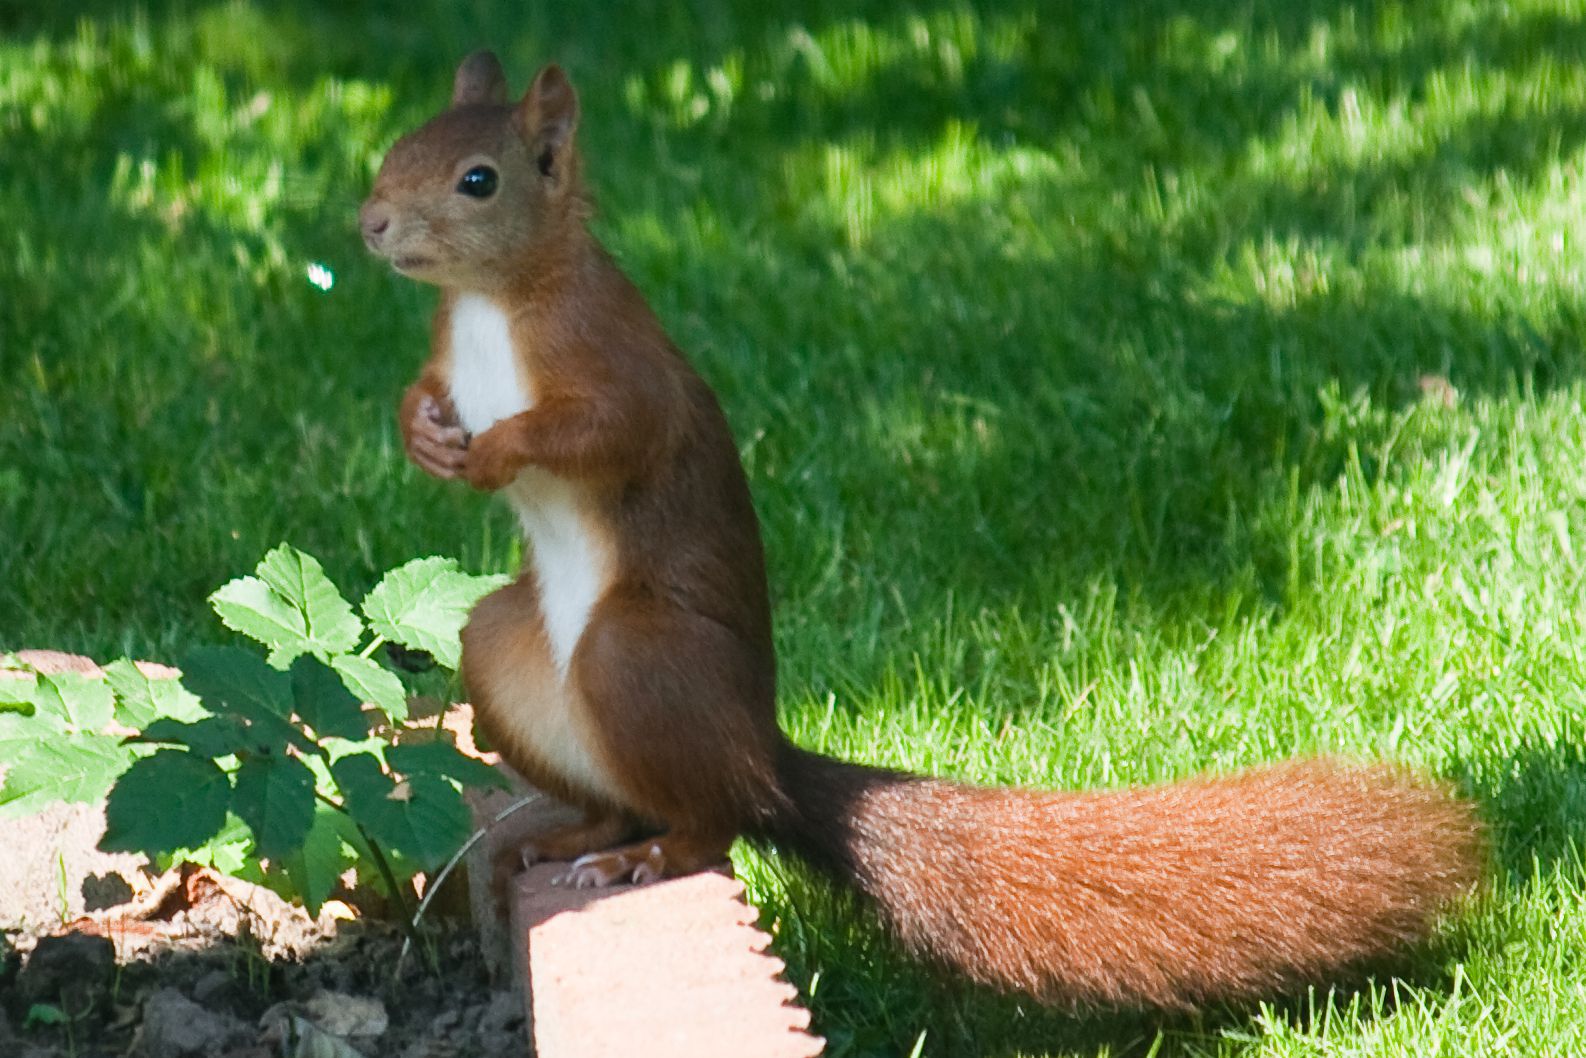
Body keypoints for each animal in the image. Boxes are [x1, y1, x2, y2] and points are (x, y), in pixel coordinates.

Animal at [358, 51, 1484, 1009]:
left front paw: (497, 451)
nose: (369, 222)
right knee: (623, 793)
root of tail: (760, 759)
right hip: (503, 649)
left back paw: (645, 857)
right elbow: (424, 392)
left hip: (635, 656)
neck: (491, 303)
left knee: (706, 825)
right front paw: (422, 430)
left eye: (476, 180)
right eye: (398, 145)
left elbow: (606, 429)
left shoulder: (610, 356)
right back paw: (569, 839)